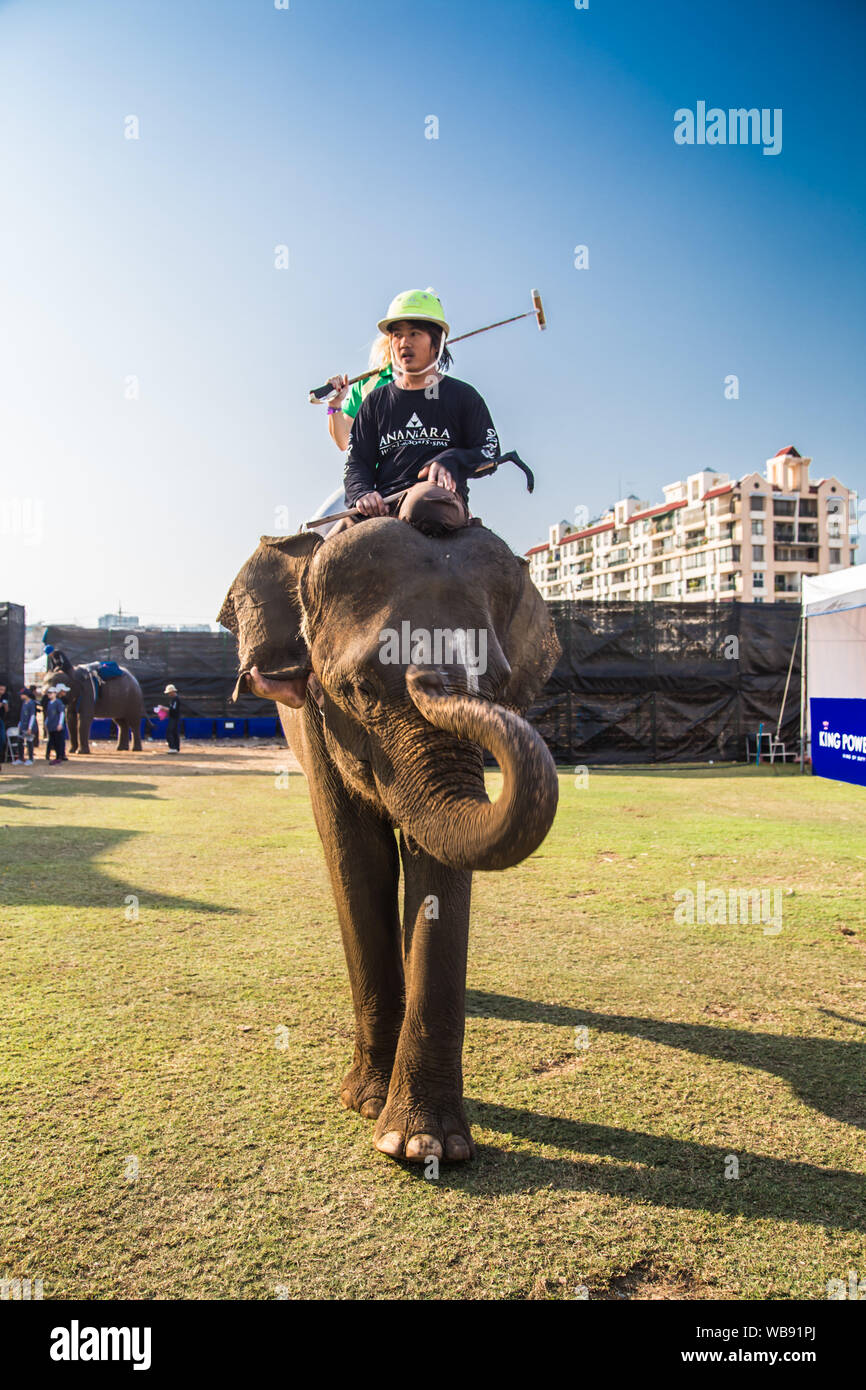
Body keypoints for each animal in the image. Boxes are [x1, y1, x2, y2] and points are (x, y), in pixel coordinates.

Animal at [218, 518, 561, 1162]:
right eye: (359, 689)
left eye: (500, 685)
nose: (434, 677)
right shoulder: (317, 720)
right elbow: (358, 860)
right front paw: (366, 1105)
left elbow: (437, 867)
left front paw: (426, 1145)